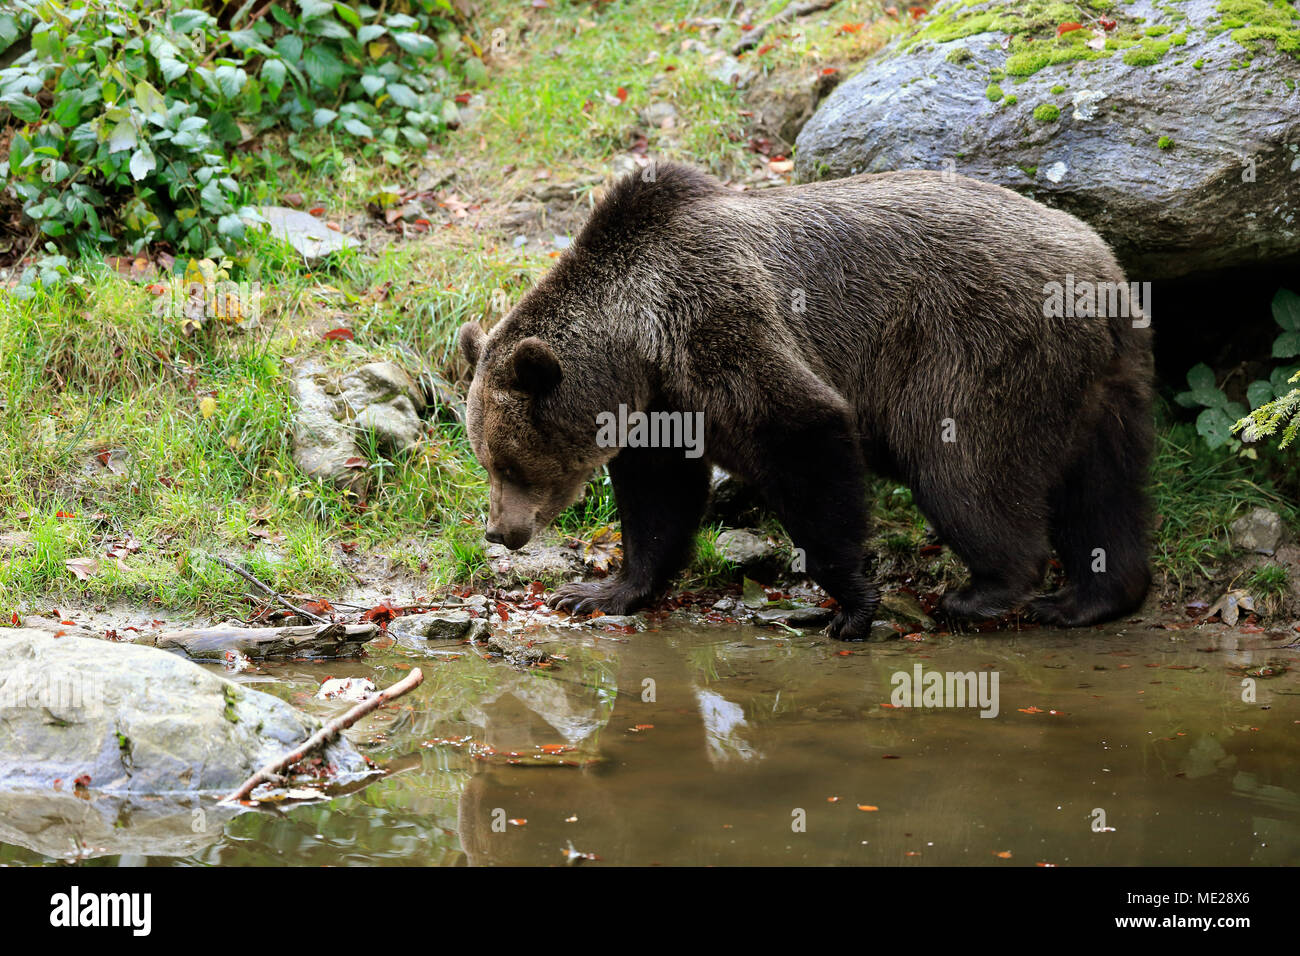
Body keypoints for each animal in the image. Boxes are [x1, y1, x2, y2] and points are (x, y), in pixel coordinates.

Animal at [457, 162, 1153, 640]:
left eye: (511, 463)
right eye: (486, 460)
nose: (501, 531)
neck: (640, 346)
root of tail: (1100, 262)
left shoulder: (718, 323)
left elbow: (802, 434)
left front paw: (853, 603)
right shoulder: (663, 405)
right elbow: (659, 498)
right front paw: (599, 591)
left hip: (976, 348)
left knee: (965, 468)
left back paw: (984, 591)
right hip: (1100, 378)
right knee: (1103, 486)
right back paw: (1088, 598)